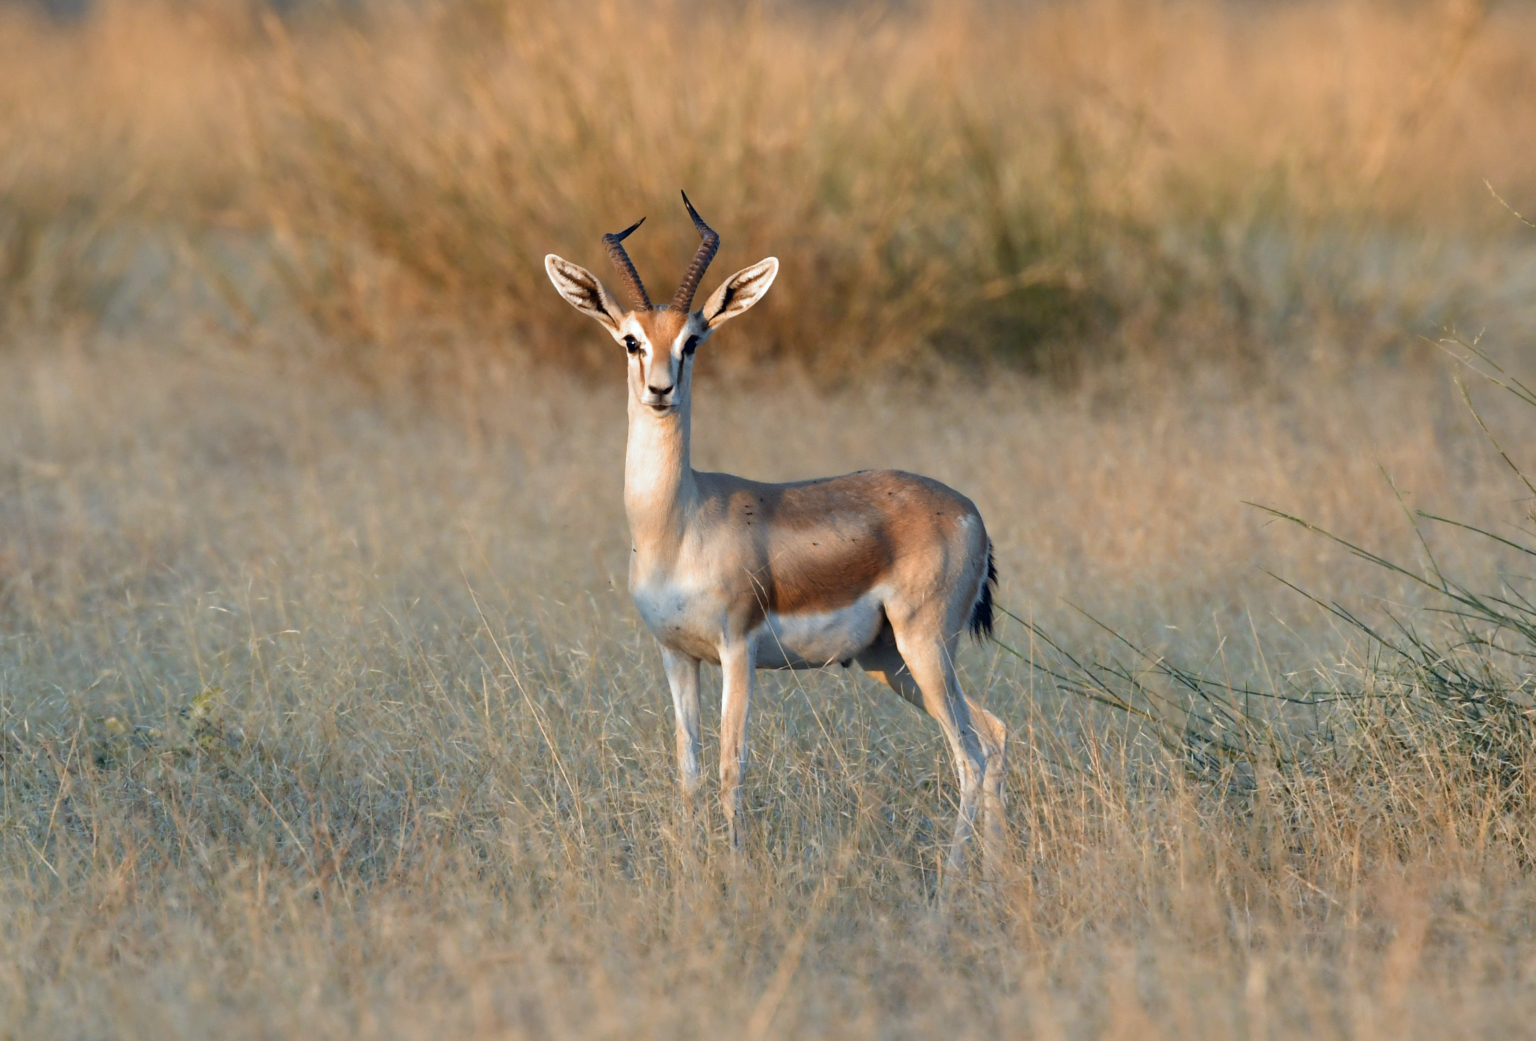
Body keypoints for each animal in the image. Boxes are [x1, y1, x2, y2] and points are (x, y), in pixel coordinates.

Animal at [544, 194, 1007, 872]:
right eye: (631, 340)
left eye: (692, 341)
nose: (660, 390)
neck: (678, 525)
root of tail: (968, 510)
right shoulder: (678, 656)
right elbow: (689, 773)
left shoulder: (737, 652)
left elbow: (730, 769)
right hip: (889, 662)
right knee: (994, 735)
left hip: (925, 648)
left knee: (969, 756)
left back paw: (951, 884)